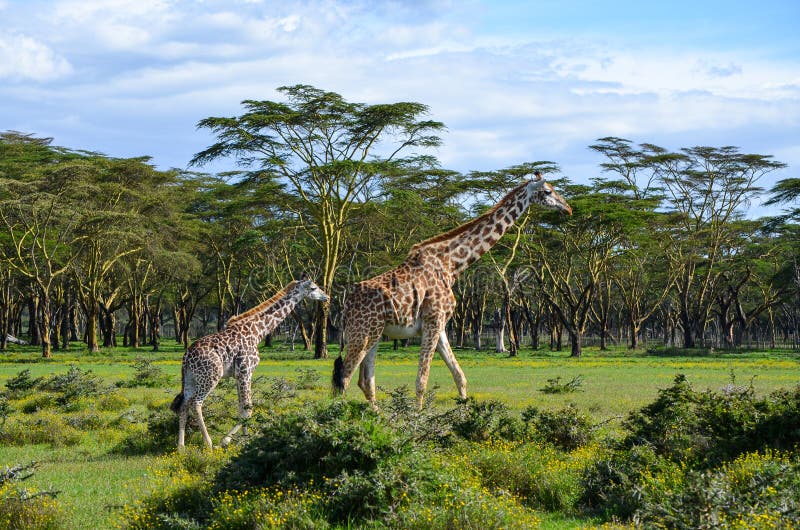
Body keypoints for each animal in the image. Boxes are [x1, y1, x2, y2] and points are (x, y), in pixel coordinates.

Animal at [171, 279, 328, 449]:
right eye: (313, 288)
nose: (326, 297)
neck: (258, 331)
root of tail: (186, 356)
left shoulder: (239, 375)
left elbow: (241, 407)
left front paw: (244, 439)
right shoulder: (246, 371)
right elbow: (248, 409)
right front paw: (226, 440)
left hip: (190, 378)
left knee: (184, 404)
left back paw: (181, 447)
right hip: (211, 376)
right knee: (196, 403)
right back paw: (209, 443)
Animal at [332, 172, 572, 408]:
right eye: (548, 191)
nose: (567, 208)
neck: (451, 264)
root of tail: (345, 306)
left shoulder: (440, 326)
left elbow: (459, 376)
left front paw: (464, 411)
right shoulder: (433, 321)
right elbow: (422, 381)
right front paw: (418, 416)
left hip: (375, 333)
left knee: (365, 381)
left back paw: (375, 414)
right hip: (362, 334)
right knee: (344, 378)